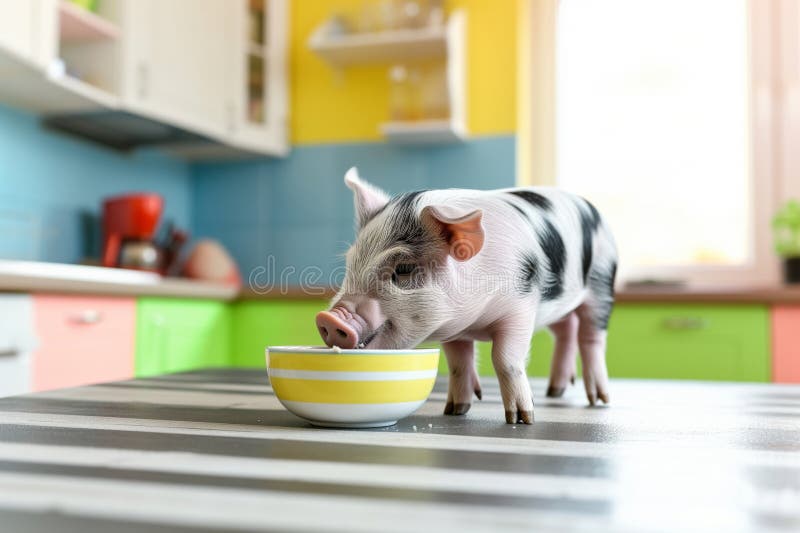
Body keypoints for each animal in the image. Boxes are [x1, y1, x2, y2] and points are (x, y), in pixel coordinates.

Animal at [316, 168, 618, 424]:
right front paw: (454, 411)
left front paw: (521, 419)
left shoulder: (521, 306)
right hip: (558, 305)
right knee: (566, 330)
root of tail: (592, 210)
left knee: (591, 337)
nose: (330, 318)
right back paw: (555, 391)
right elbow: (458, 364)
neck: (477, 318)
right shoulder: (455, 328)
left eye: (403, 269)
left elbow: (505, 359)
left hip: (601, 281)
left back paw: (599, 400)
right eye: (351, 263)